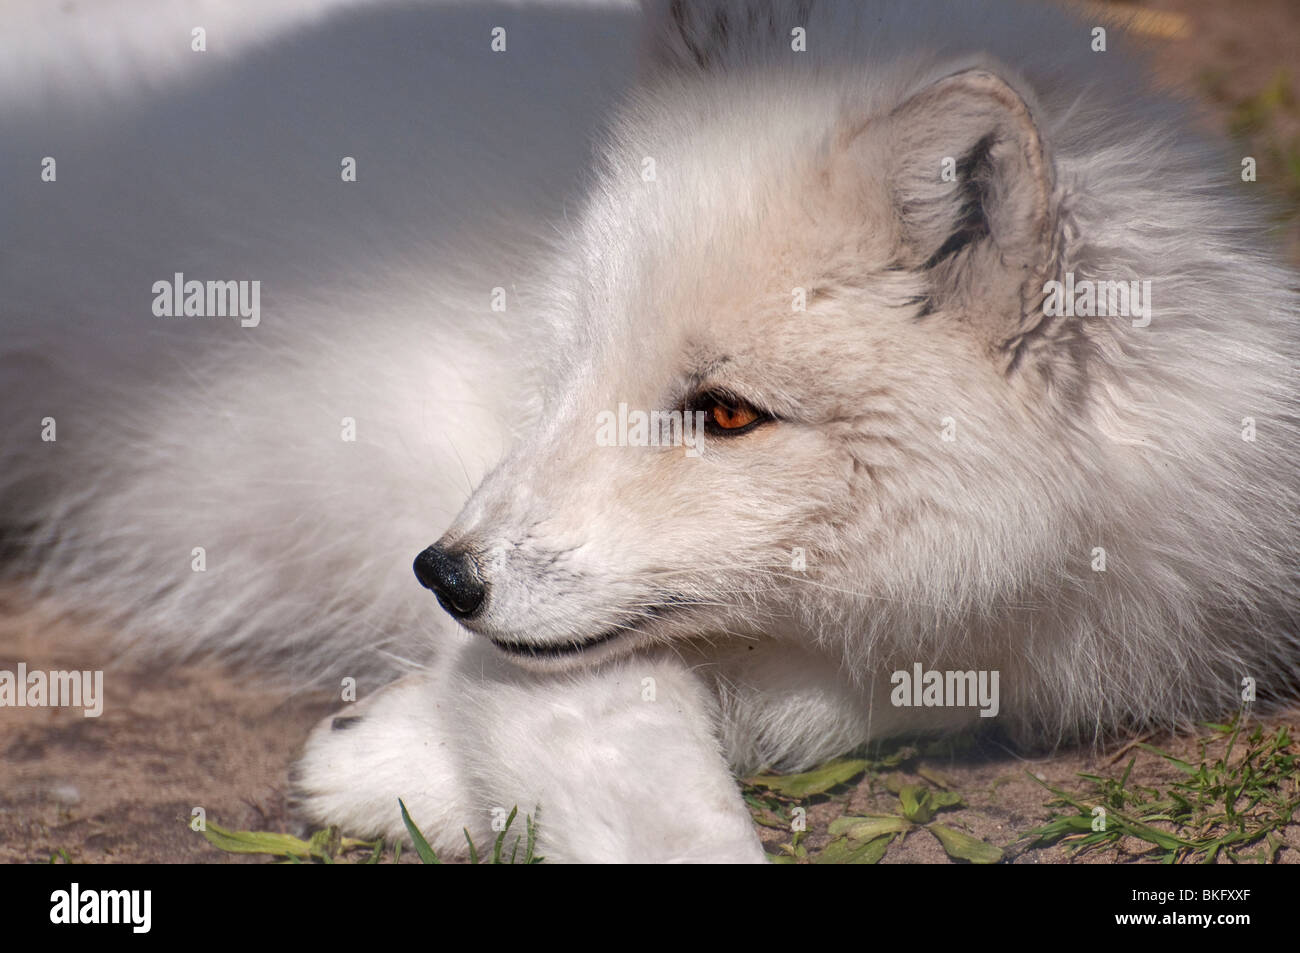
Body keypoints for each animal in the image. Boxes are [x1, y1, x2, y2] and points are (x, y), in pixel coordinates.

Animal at [1, 0, 1297, 863]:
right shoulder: (550, 647)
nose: (444, 573)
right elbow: (661, 805)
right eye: (573, 360)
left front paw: (393, 756)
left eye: (725, 413)